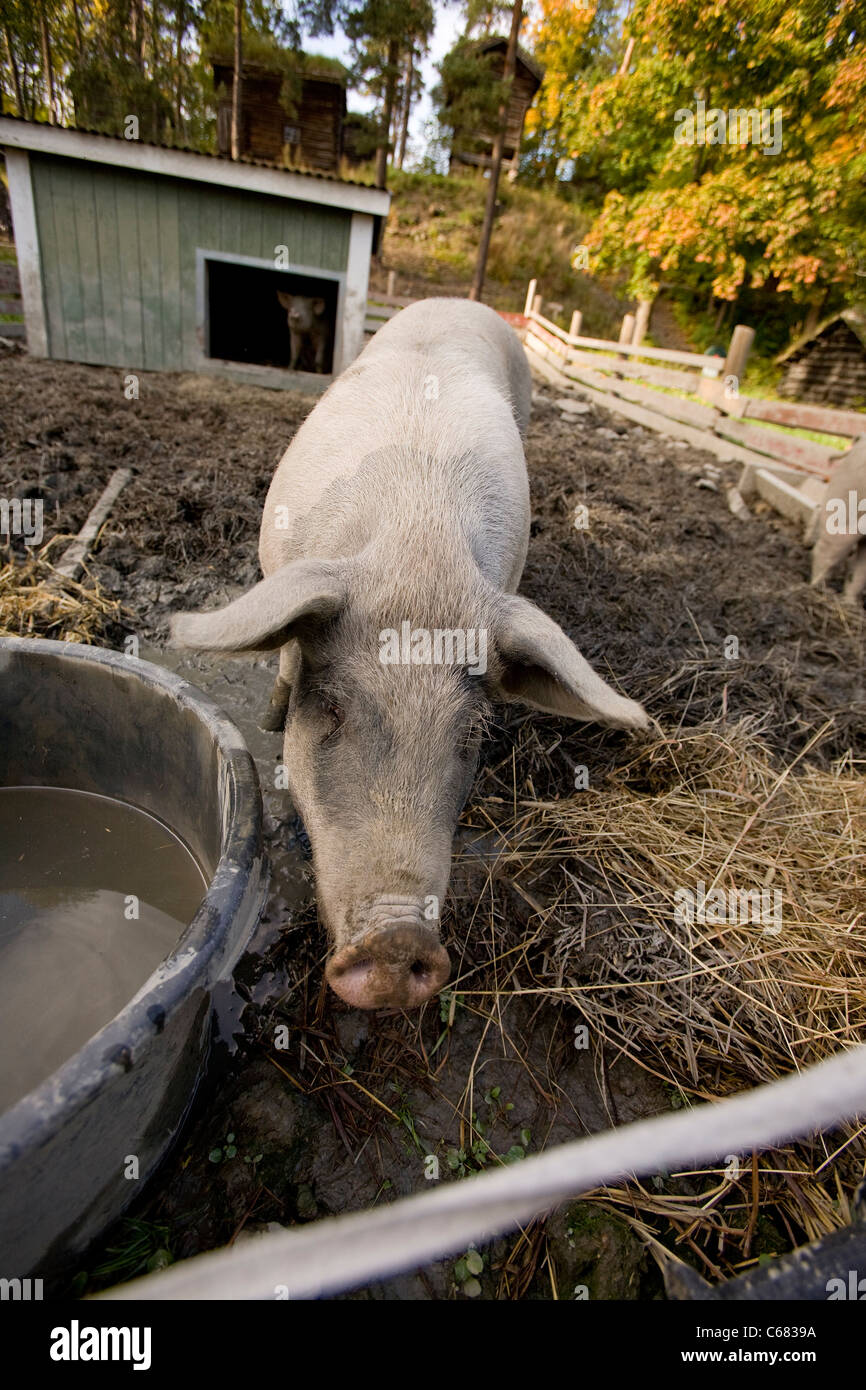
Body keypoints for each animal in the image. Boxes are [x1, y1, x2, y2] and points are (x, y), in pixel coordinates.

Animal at [171, 298, 648, 1011]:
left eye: (471, 734)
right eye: (332, 711)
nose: (400, 942)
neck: (417, 549)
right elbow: (285, 657)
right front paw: (272, 720)